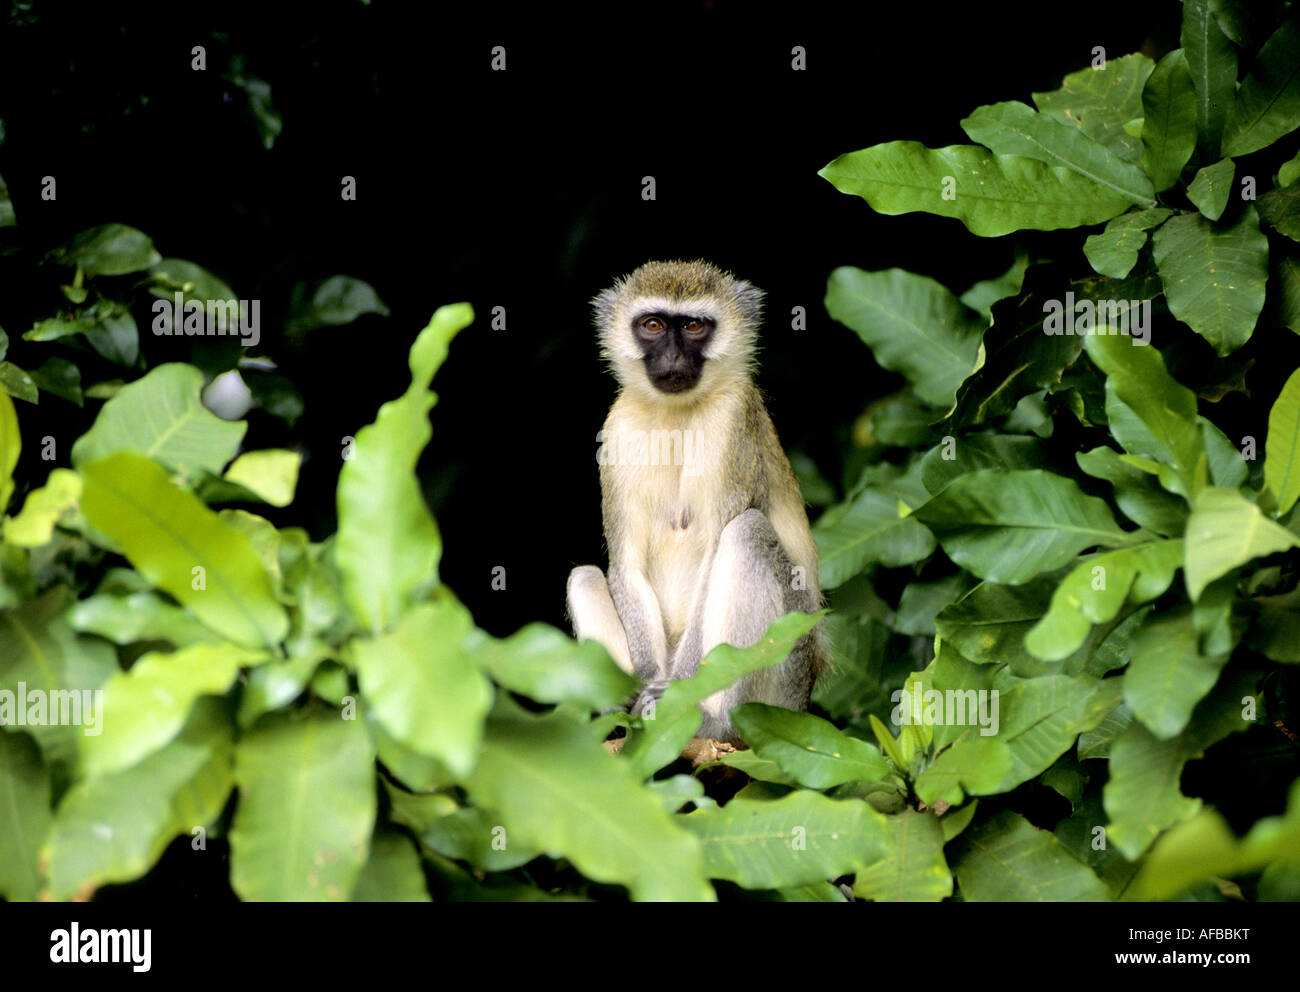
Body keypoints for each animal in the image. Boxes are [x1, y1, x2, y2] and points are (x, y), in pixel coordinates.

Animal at [566, 259, 828, 745]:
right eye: (652, 325)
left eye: (693, 326)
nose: (672, 358)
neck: (676, 414)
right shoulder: (617, 427)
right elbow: (626, 566)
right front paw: (645, 687)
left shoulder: (733, 419)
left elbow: (714, 556)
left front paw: (678, 695)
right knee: (585, 577)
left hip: (787, 679)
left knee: (746, 533)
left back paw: (713, 723)